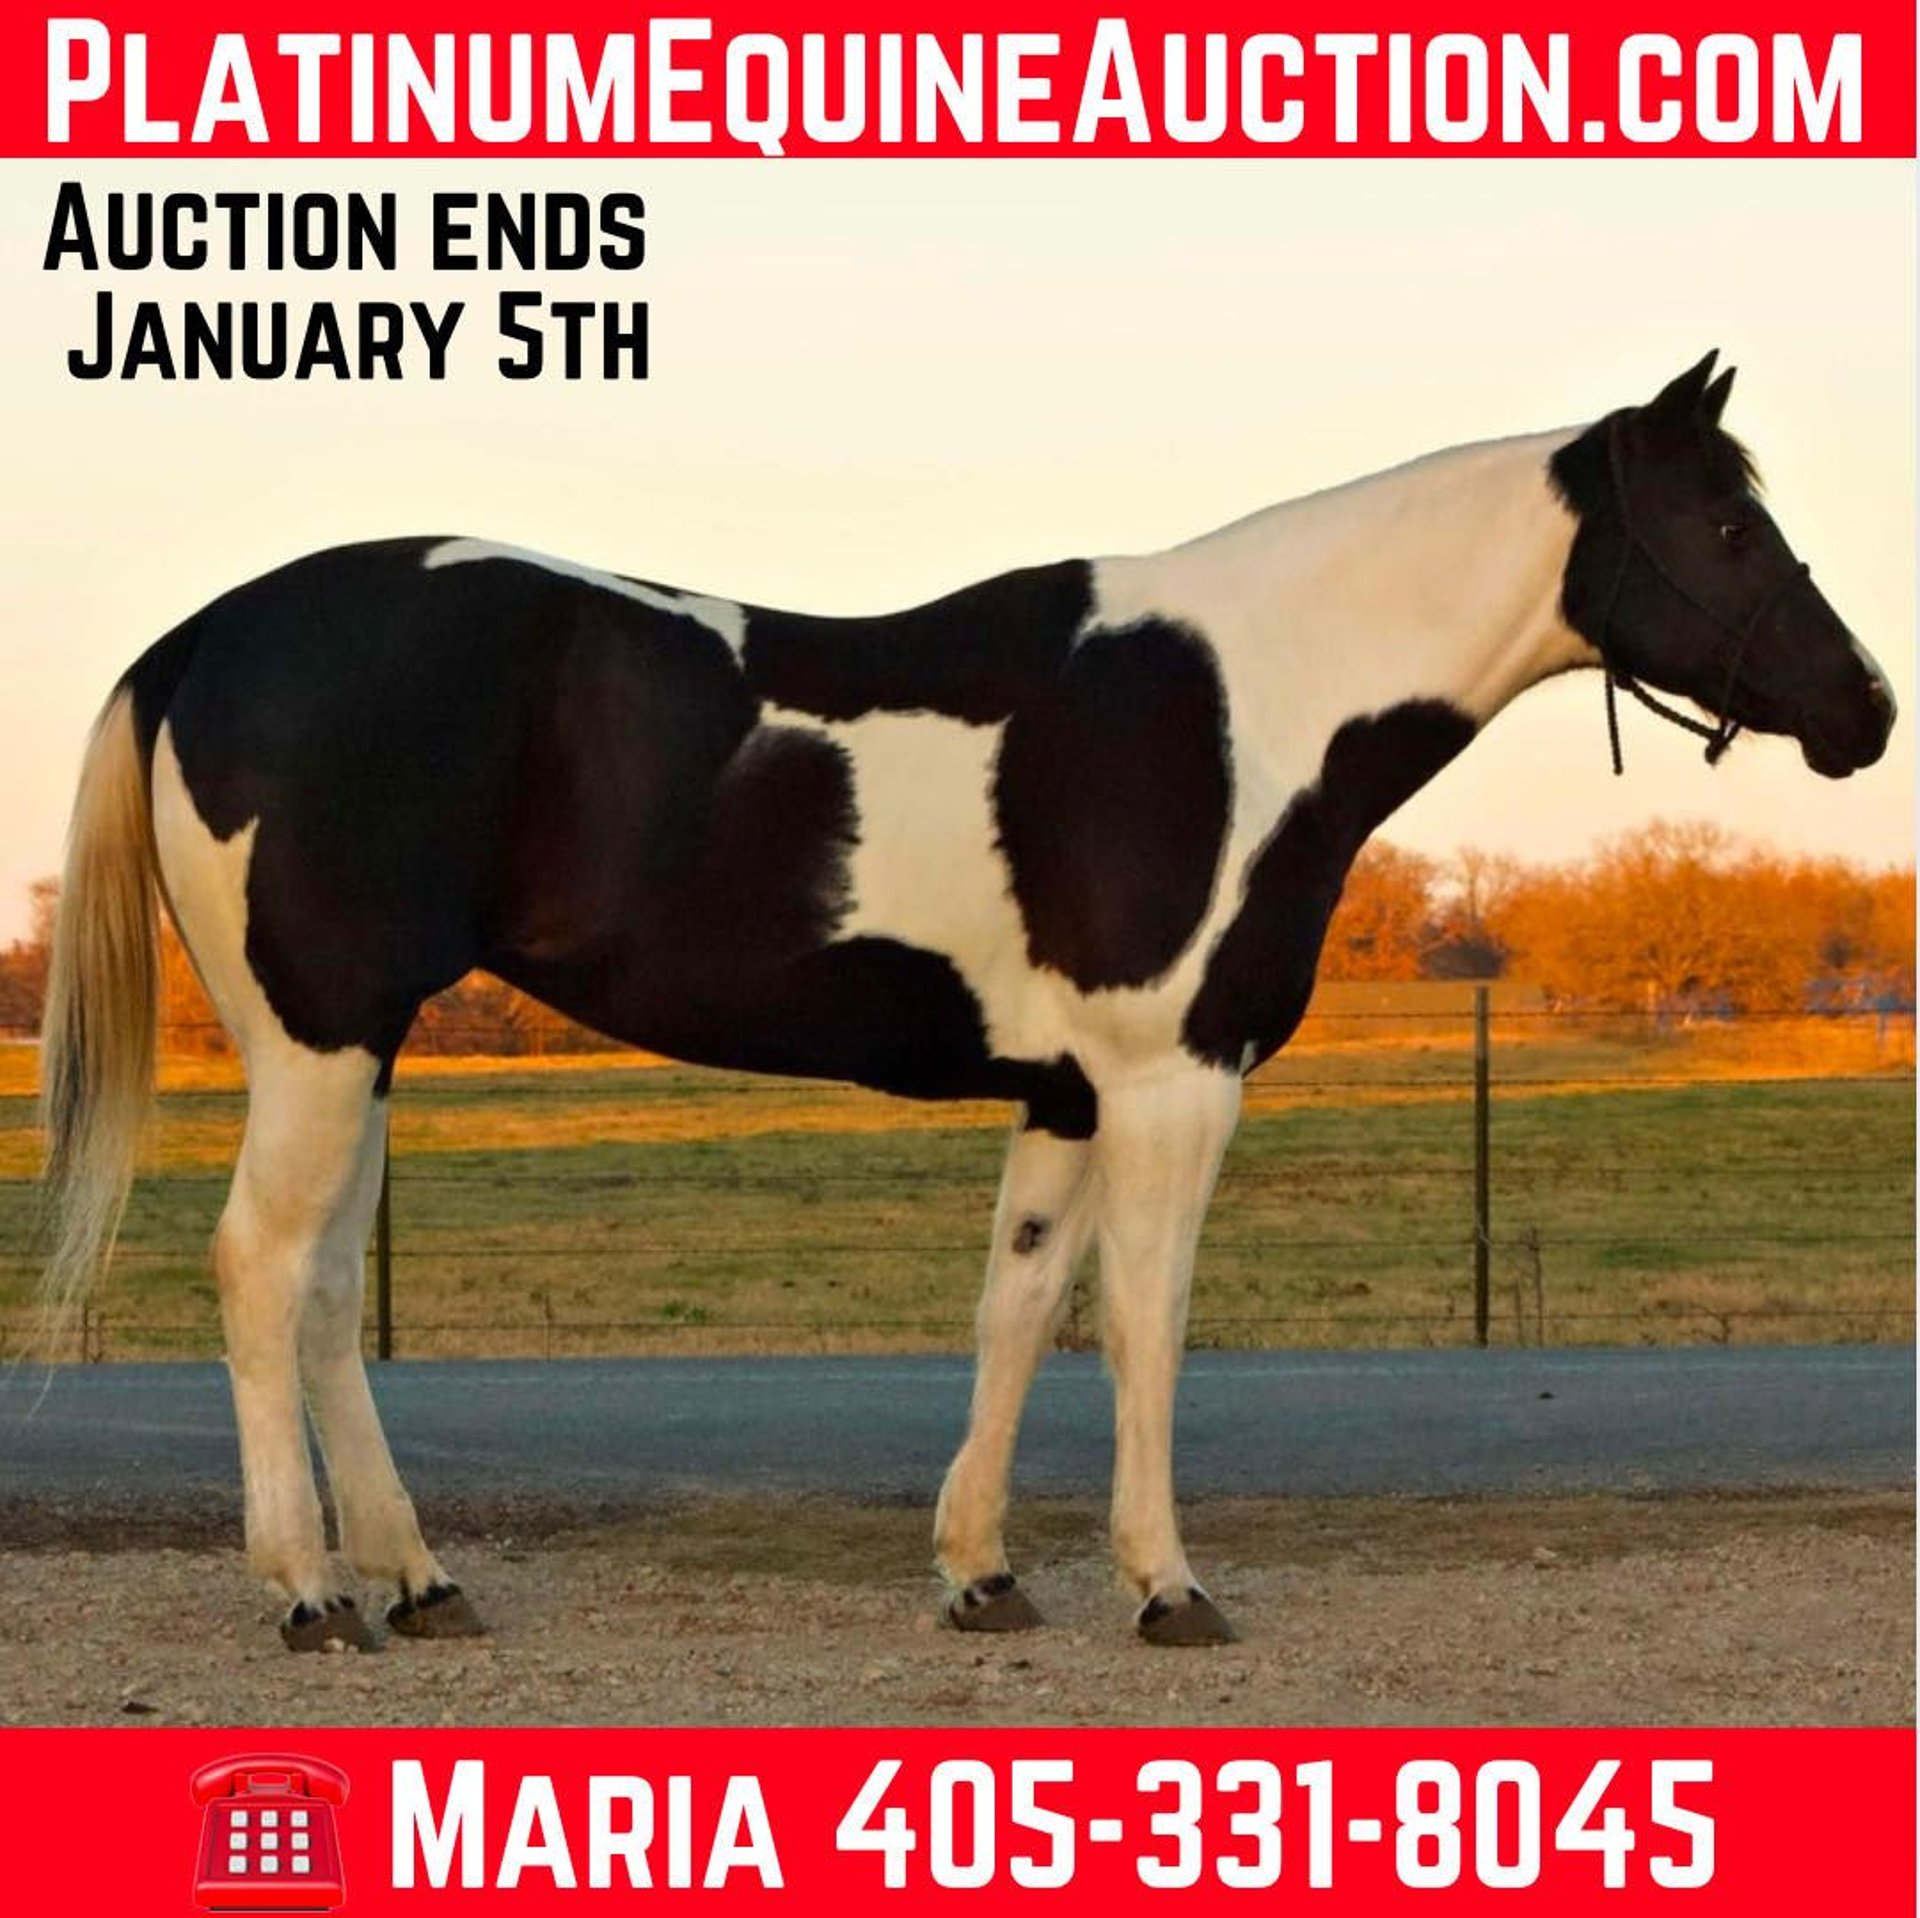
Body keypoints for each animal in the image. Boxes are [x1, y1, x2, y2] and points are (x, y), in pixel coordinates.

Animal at [39, 352, 1894, 1650]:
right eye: (1727, 525)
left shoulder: (1068, 1087)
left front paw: (983, 1572)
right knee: (258, 1271)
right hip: (323, 1037)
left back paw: (418, 1581)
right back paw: (307, 1593)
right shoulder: (1172, 1075)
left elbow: (1019, 1306)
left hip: (357, 1045)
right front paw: (1165, 1584)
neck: (1249, 701)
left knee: (322, 1292)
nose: (1865, 711)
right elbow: (1142, 1320)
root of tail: (210, 632)